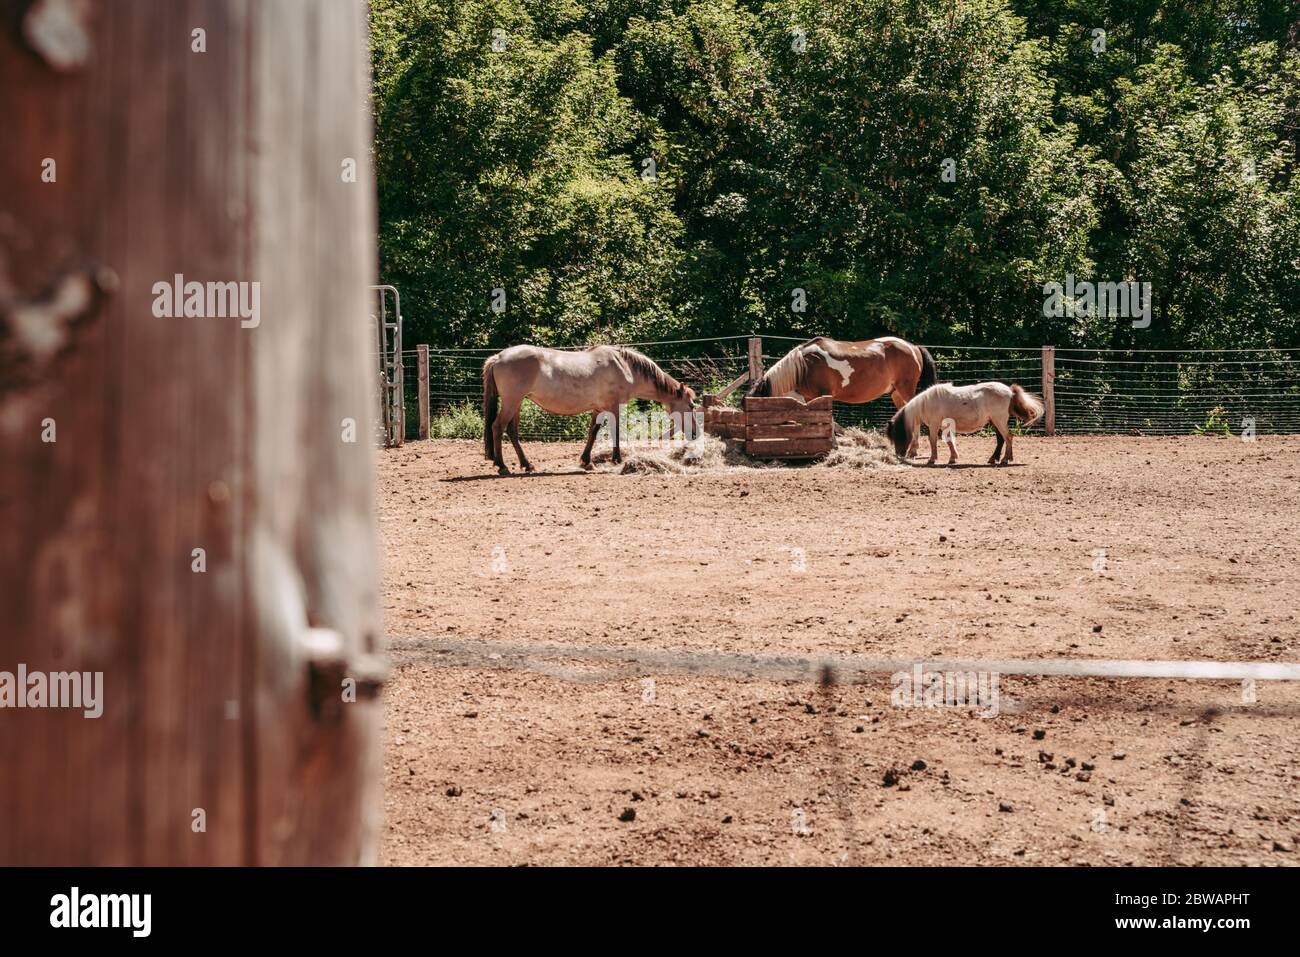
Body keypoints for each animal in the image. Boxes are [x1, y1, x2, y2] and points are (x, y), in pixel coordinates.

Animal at [482, 345, 697, 475]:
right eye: (691, 405)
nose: (695, 433)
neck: (624, 367)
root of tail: (499, 357)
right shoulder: (614, 407)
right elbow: (615, 432)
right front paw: (617, 459)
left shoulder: (599, 408)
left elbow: (593, 432)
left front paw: (587, 461)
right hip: (512, 402)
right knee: (498, 427)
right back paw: (502, 466)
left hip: (516, 403)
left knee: (512, 431)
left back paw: (527, 464)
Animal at [749, 336, 937, 455]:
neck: (804, 365)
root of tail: (913, 347)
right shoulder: (810, 399)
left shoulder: (824, 396)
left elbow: (828, 421)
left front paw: (832, 446)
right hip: (896, 393)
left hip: (905, 389)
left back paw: (913, 450)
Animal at [885, 382, 1044, 466]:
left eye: (896, 435)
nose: (898, 455)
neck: (926, 403)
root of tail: (1010, 392)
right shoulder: (944, 425)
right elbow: (949, 441)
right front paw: (953, 458)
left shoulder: (934, 424)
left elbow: (932, 440)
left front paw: (932, 459)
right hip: (995, 421)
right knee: (1001, 439)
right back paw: (994, 459)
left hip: (999, 420)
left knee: (1008, 437)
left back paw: (1005, 459)